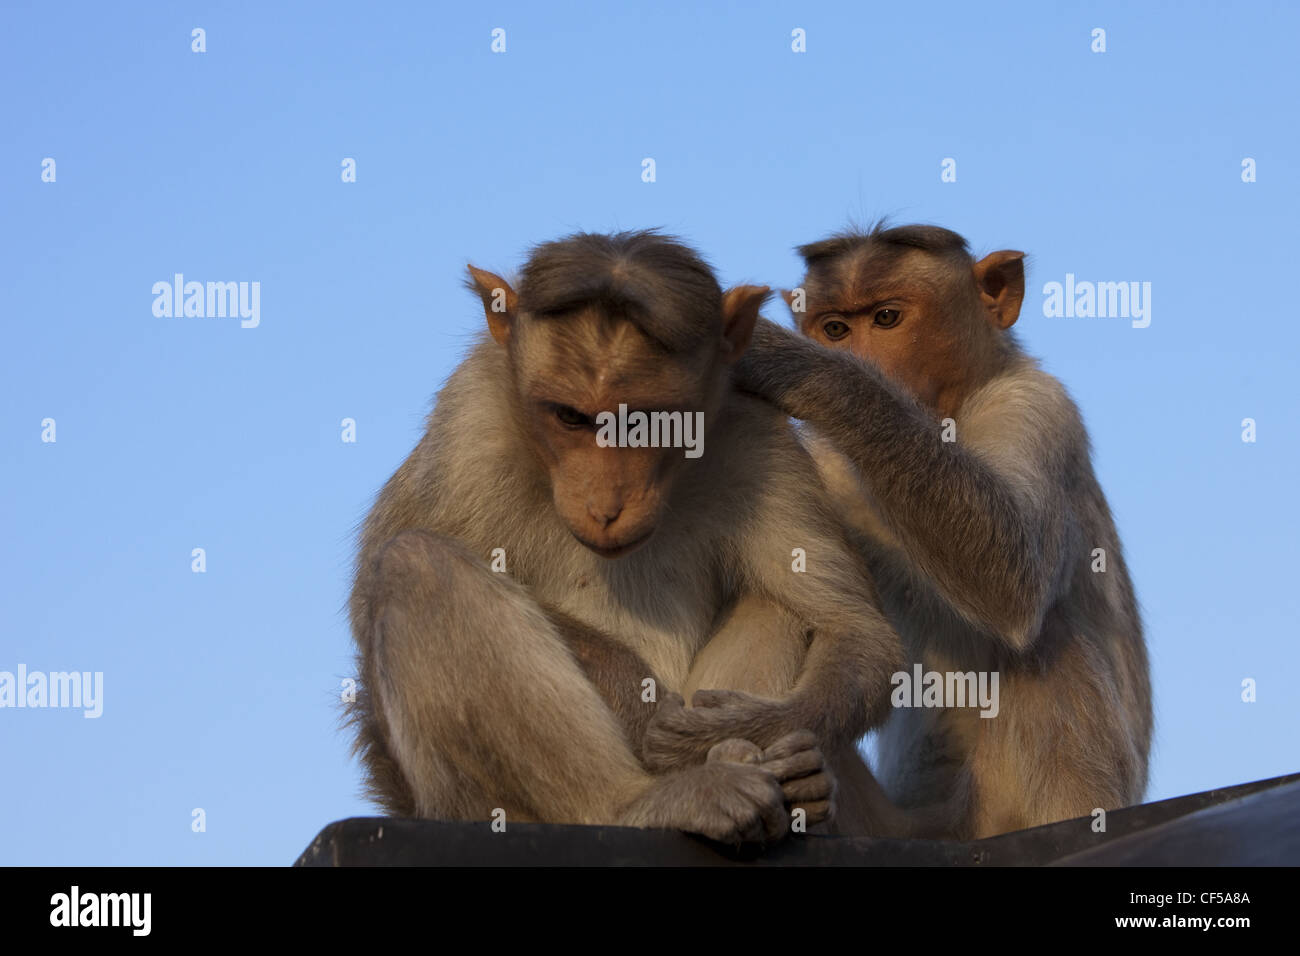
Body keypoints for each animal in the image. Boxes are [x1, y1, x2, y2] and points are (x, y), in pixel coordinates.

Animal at [346, 230, 906, 844]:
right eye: (570, 416)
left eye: (650, 421)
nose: (606, 506)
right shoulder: (468, 429)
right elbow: (370, 609)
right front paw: (640, 699)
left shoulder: (759, 439)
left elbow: (855, 630)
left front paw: (746, 729)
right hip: (466, 806)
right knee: (416, 562)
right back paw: (648, 802)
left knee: (781, 605)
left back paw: (777, 780)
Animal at [732, 223, 1153, 839]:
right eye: (836, 329)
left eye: (886, 318)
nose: (858, 356)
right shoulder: (829, 465)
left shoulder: (1036, 406)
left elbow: (1011, 569)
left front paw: (804, 369)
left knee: (1045, 642)